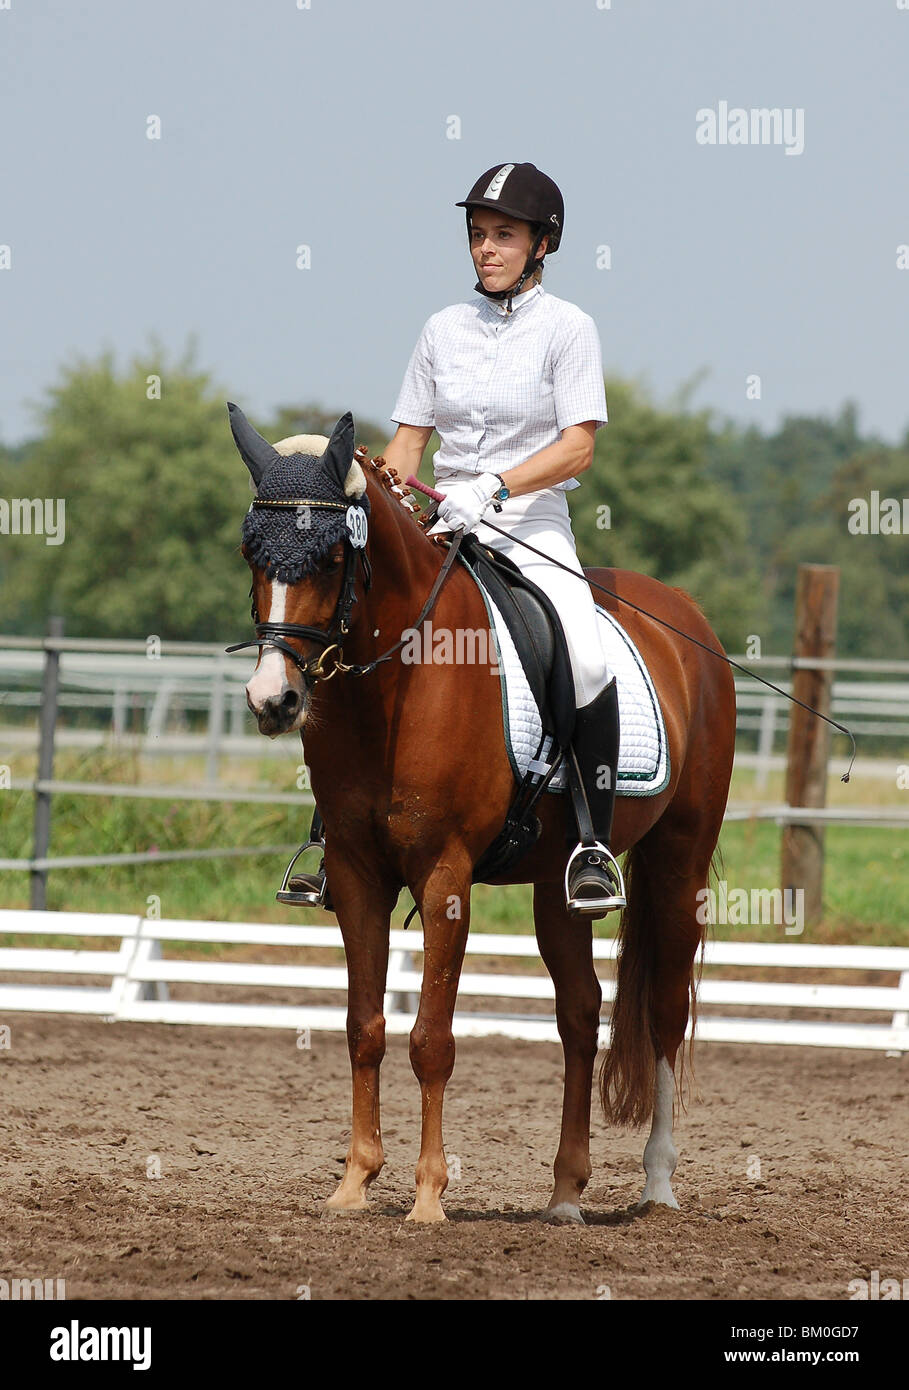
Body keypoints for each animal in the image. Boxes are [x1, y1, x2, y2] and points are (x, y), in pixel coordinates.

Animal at [227, 404, 736, 1224]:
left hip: (677, 859)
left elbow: (432, 1038)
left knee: (661, 1010)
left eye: (333, 555)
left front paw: (429, 1196)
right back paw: (564, 1193)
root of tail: (684, 616)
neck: (398, 680)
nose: (274, 700)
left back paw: (657, 1184)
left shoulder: (445, 875)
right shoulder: (357, 873)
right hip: (555, 884)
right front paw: (354, 1183)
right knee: (579, 1013)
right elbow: (364, 1028)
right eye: (250, 549)